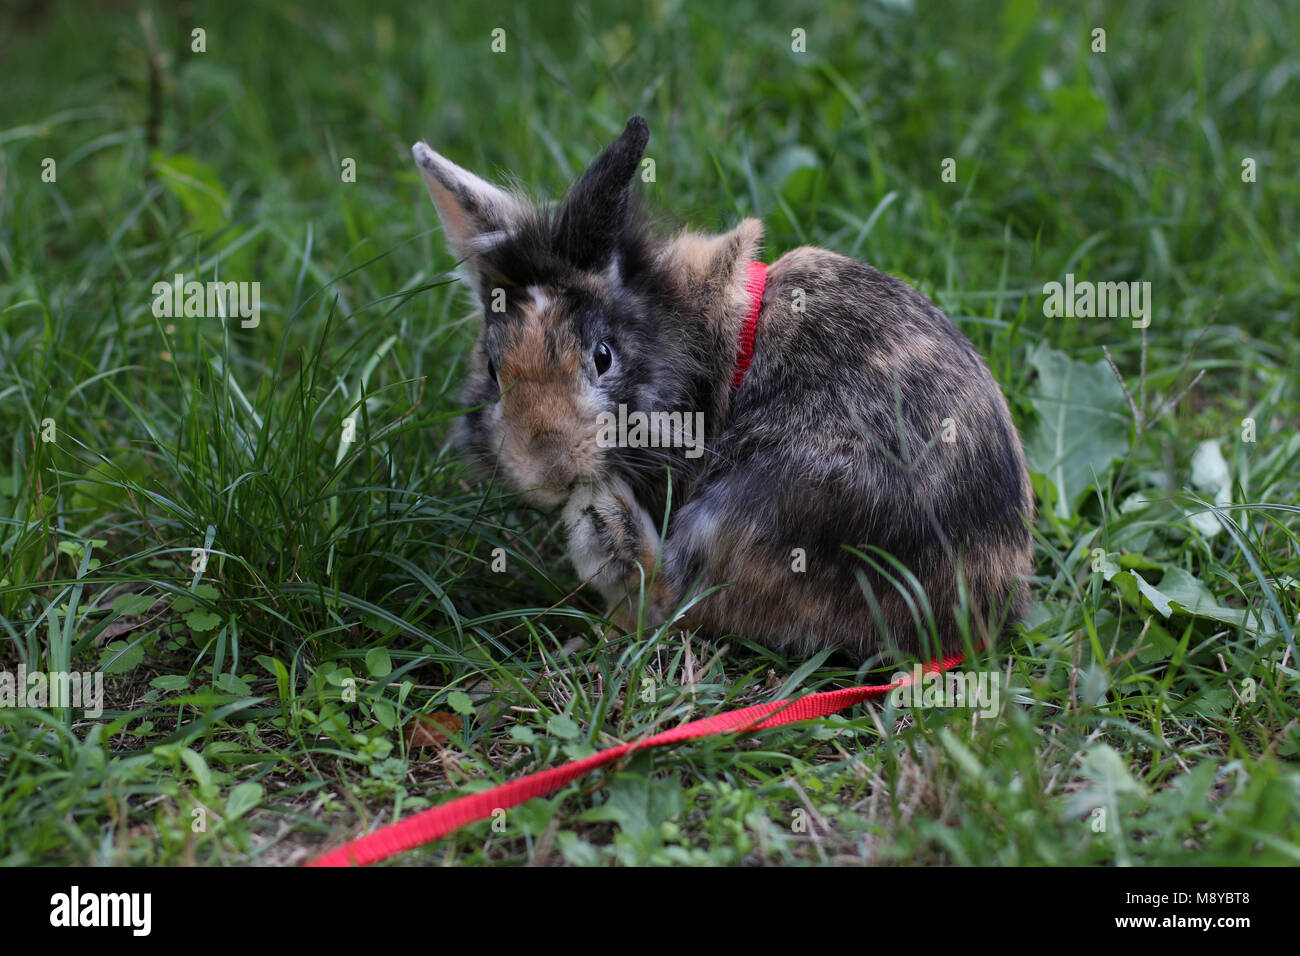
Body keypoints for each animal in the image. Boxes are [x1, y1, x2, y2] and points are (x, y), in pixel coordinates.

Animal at [412, 116, 1034, 663]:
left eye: (602, 357)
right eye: (493, 370)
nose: (548, 471)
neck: (678, 332)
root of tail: (971, 616)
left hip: (749, 514)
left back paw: (606, 525)